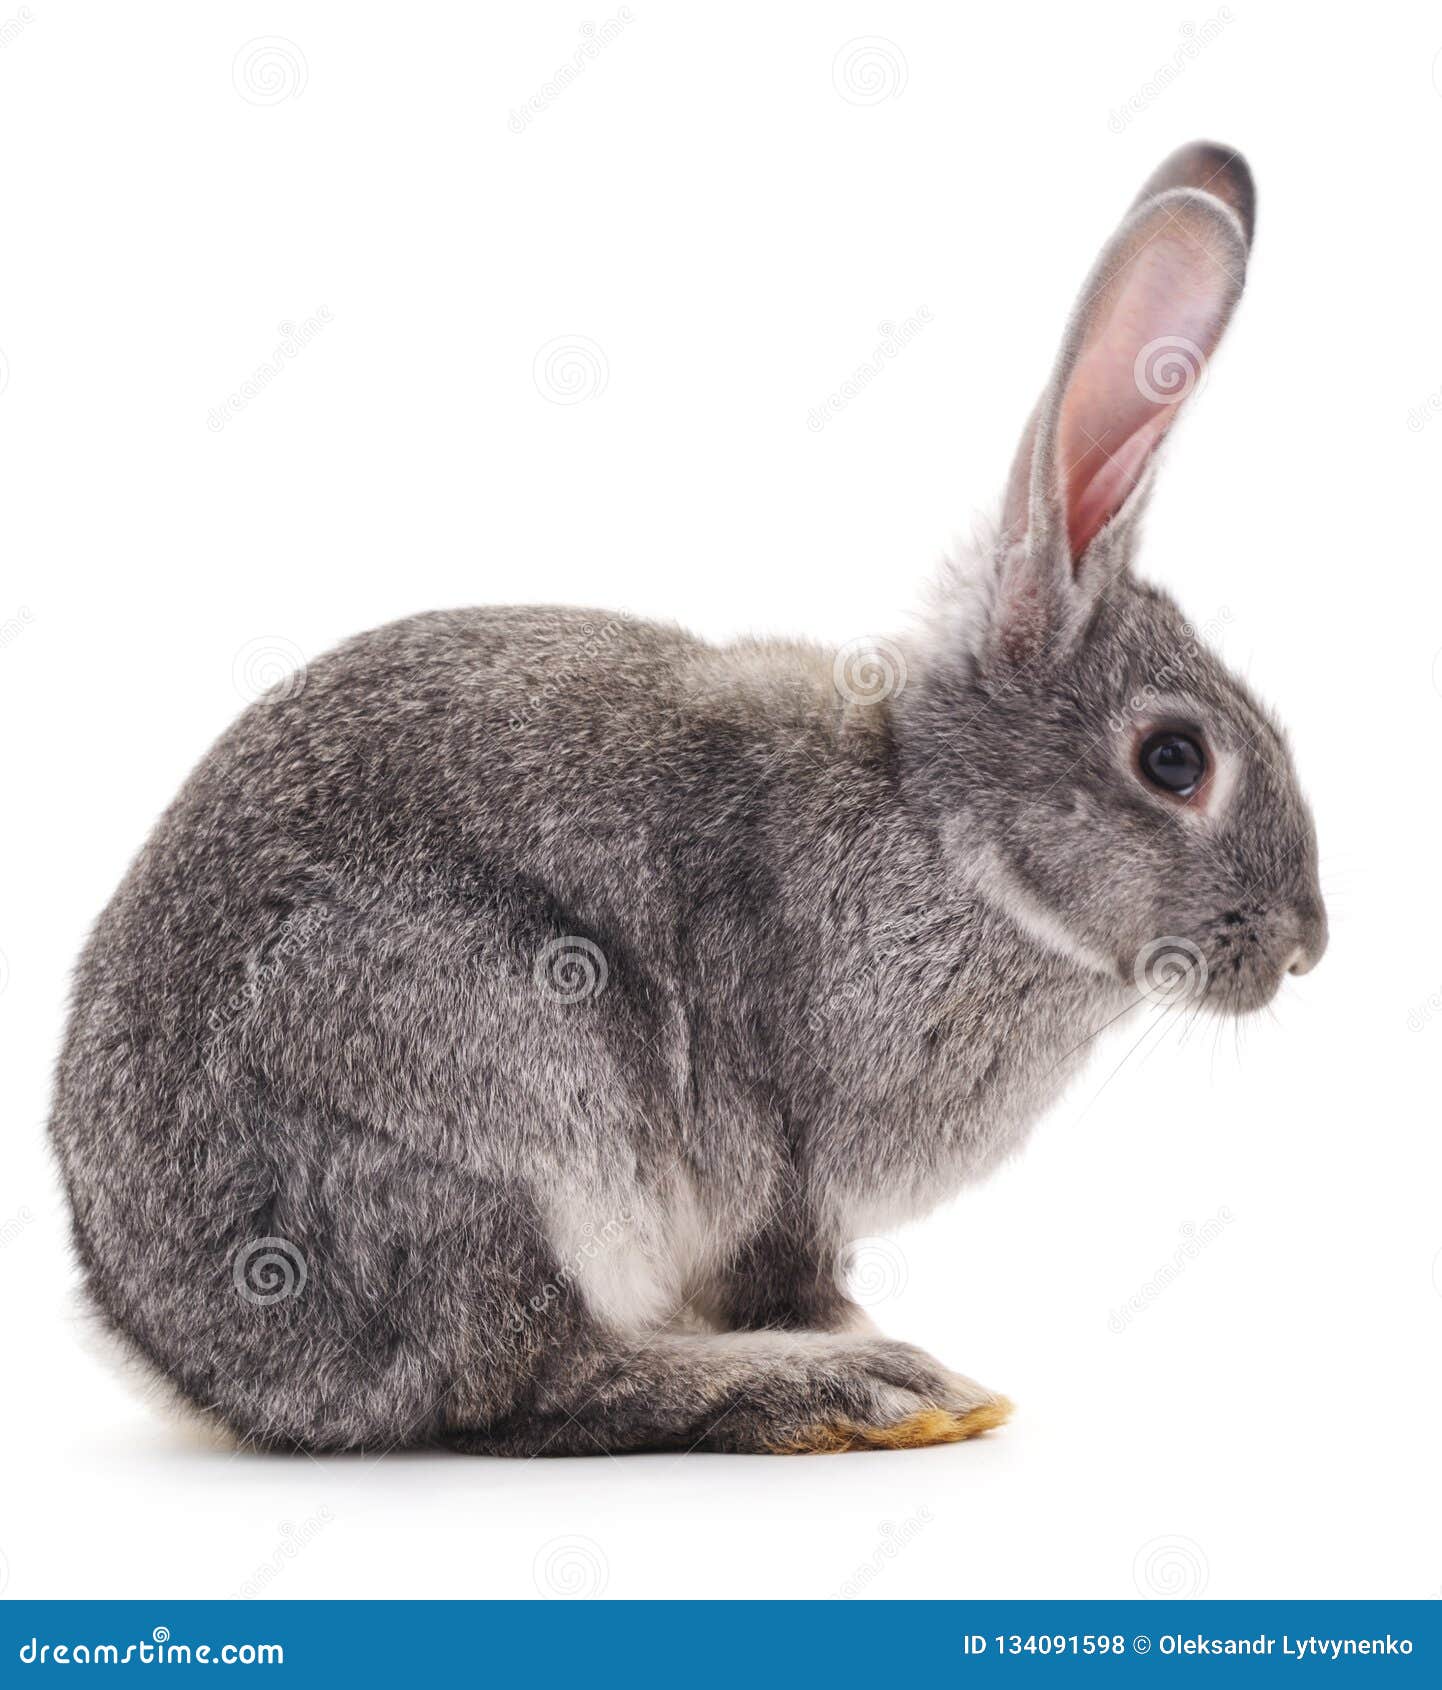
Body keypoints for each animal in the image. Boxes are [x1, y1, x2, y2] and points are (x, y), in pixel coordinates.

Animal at [50, 140, 1325, 1456]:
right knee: (534, 1378)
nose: (1302, 945)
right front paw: (856, 1345)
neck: (941, 836)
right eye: (1172, 760)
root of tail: (194, 1357)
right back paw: (866, 1390)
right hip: (506, 1076)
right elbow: (784, 1269)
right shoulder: (782, 1171)